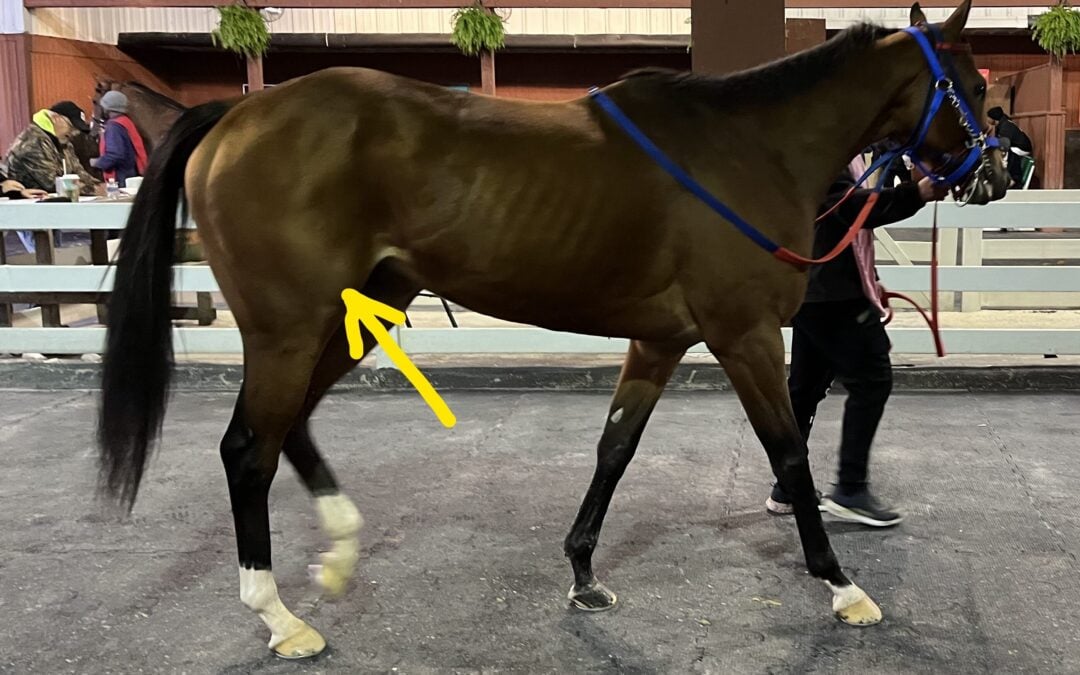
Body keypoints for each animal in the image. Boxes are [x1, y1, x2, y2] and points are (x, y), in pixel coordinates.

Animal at [97, 0, 1007, 659]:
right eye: (973, 83)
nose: (1004, 169)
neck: (753, 147)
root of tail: (233, 116)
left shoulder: (661, 340)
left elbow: (615, 447)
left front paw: (582, 572)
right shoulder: (743, 333)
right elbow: (789, 451)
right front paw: (842, 585)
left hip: (355, 314)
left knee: (289, 429)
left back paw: (342, 546)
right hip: (290, 326)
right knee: (248, 447)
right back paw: (278, 614)